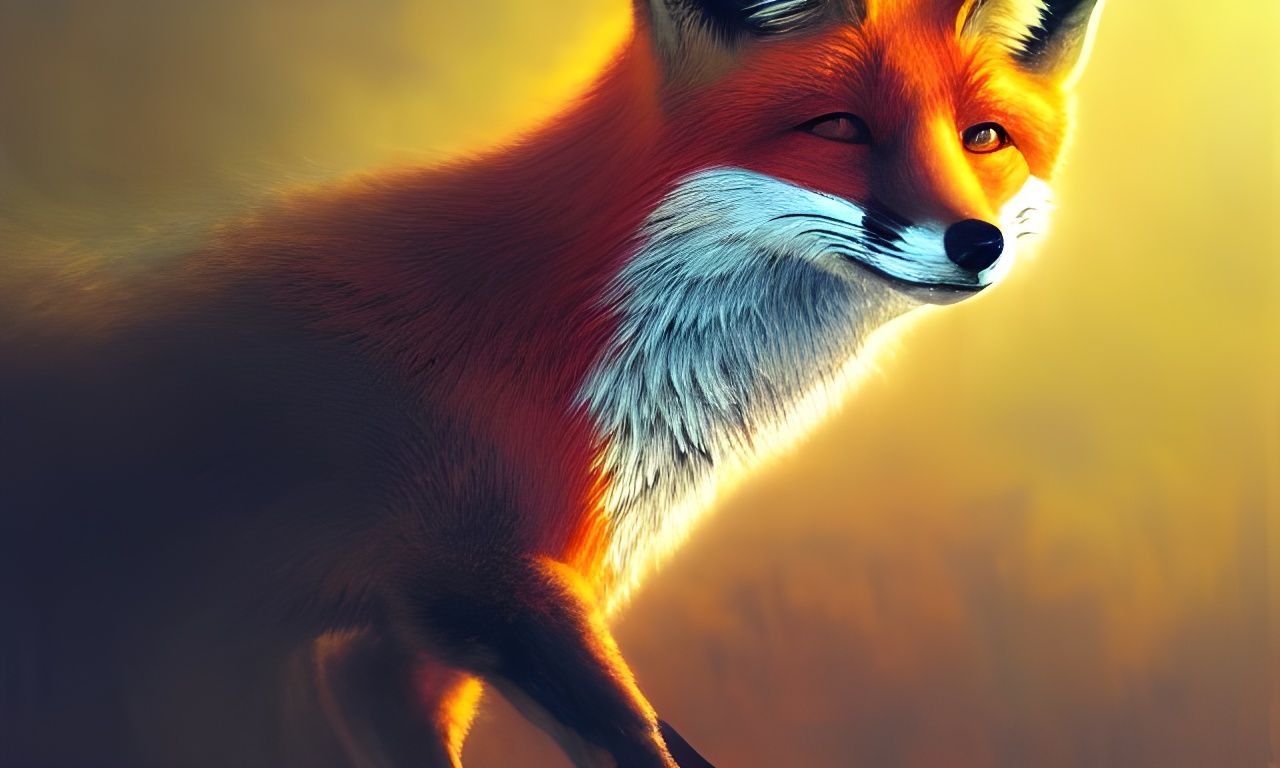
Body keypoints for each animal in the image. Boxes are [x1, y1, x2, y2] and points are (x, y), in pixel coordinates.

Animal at [0, 0, 1105, 766]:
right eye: (838, 128)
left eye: (984, 138)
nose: (976, 242)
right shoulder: (470, 583)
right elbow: (632, 742)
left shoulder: (408, 645)